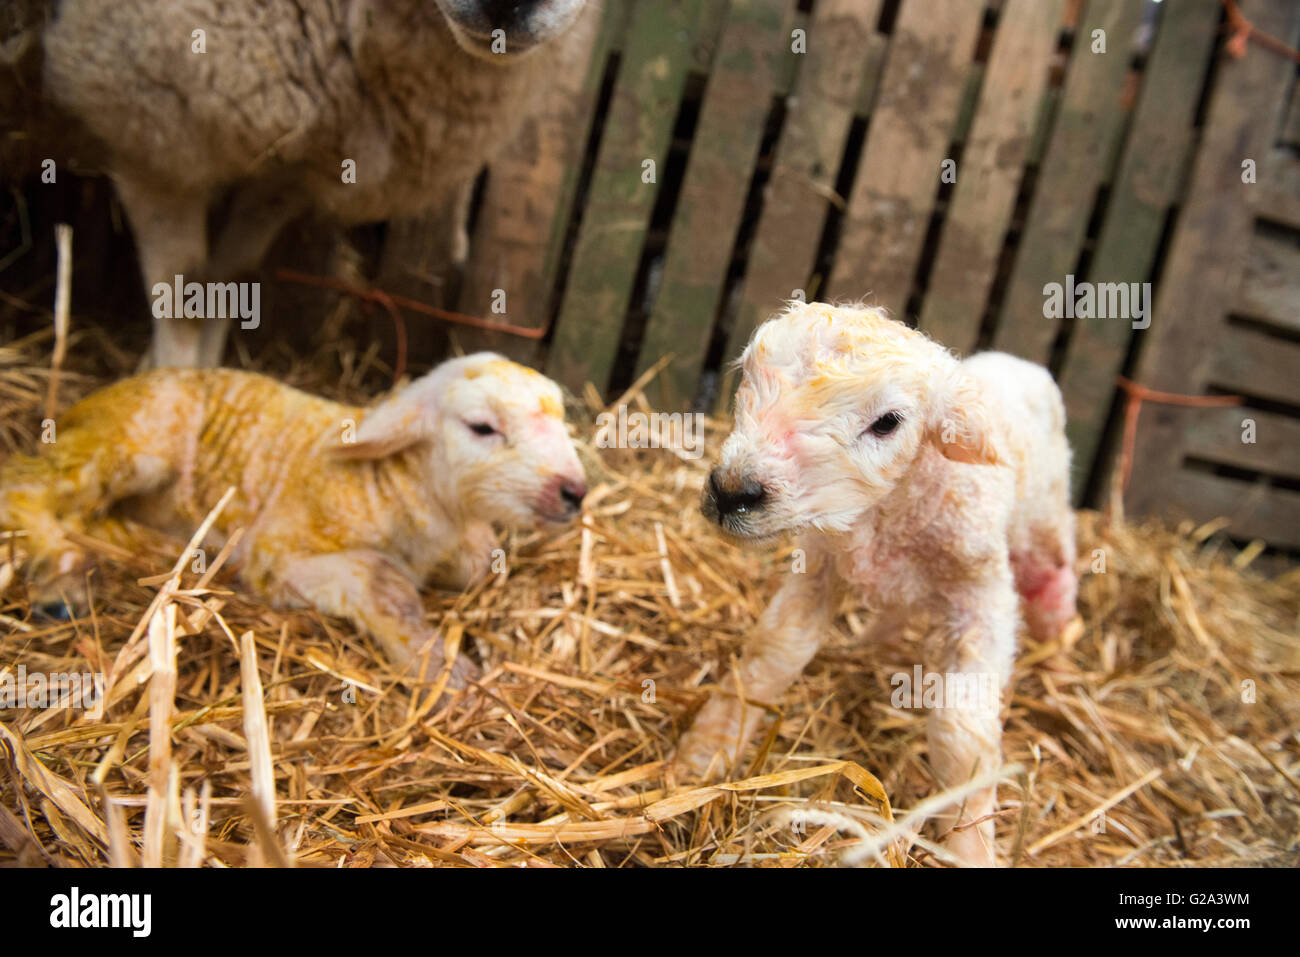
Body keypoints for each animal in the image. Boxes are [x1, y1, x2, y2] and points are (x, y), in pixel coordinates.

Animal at [0, 353, 588, 683]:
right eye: (482, 427)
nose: (575, 492)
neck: (394, 484)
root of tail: (84, 404)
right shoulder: (277, 553)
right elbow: (382, 580)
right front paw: (447, 675)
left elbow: (478, 562)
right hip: (133, 443)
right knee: (29, 487)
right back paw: (62, 577)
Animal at [676, 302, 1078, 866]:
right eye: (749, 374)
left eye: (888, 422)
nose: (733, 492)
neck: (889, 513)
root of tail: (1019, 362)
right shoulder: (819, 569)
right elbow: (770, 657)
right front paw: (704, 751)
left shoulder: (982, 598)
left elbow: (962, 733)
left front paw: (969, 843)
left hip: (1043, 523)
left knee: (1054, 585)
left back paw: (1061, 665)